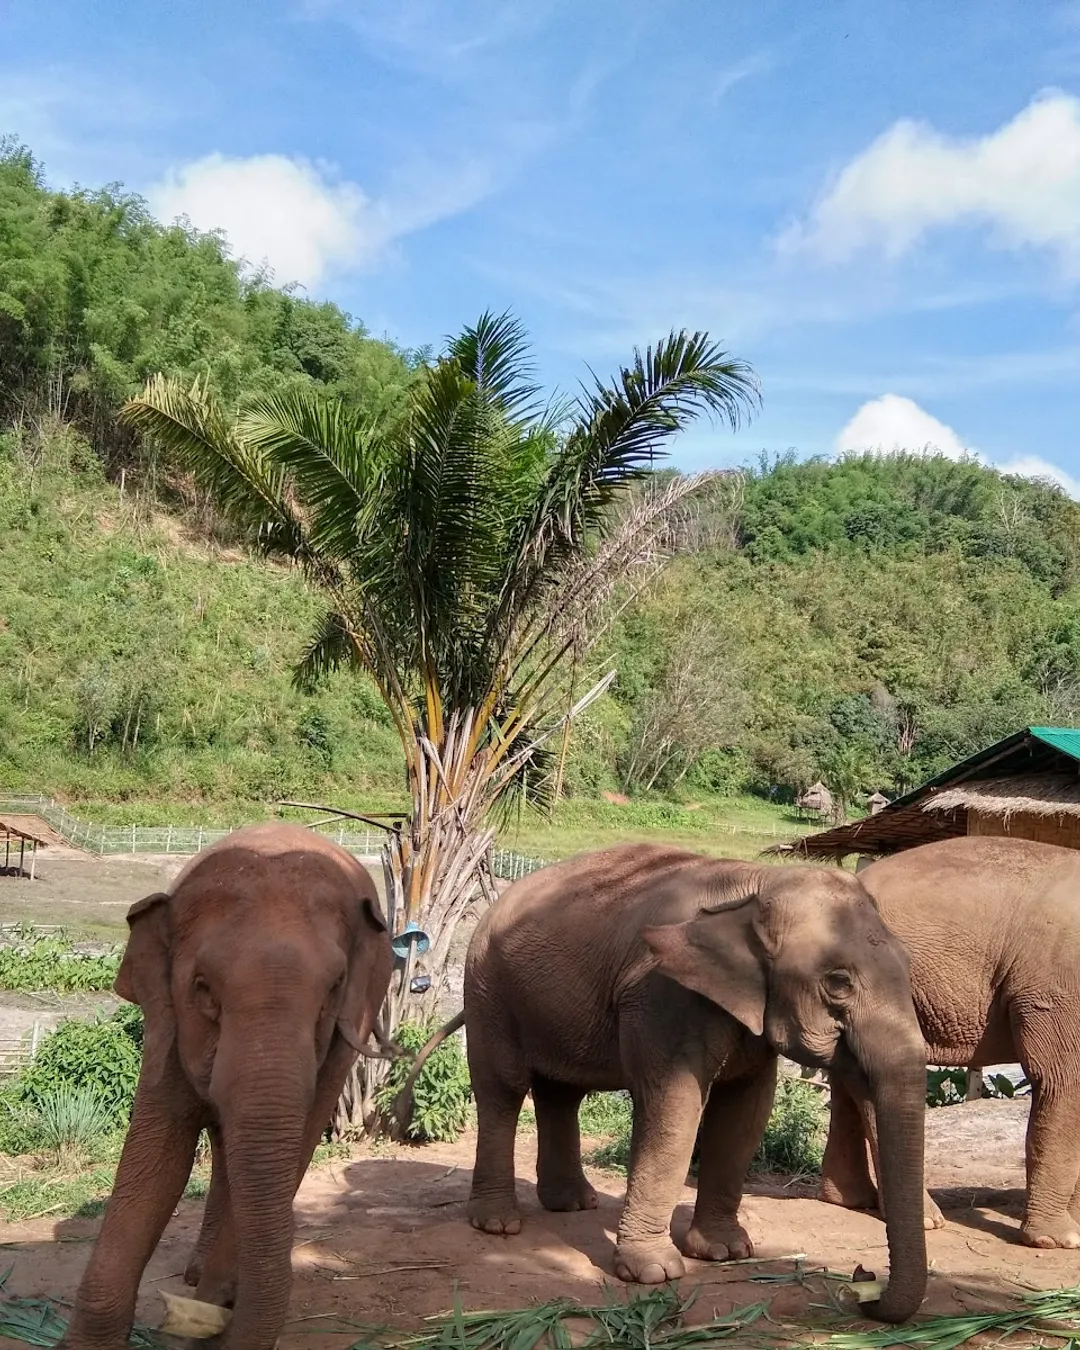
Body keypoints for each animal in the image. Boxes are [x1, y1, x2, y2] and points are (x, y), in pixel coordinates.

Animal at [399, 847, 934, 1323]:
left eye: (911, 967)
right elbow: (675, 1107)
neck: (757, 882)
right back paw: (499, 1224)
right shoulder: (663, 996)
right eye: (838, 982)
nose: (863, 1281)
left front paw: (725, 1252)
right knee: (503, 1090)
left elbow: (745, 1112)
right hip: (488, 988)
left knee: (561, 1092)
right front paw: (653, 1274)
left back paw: (572, 1203)